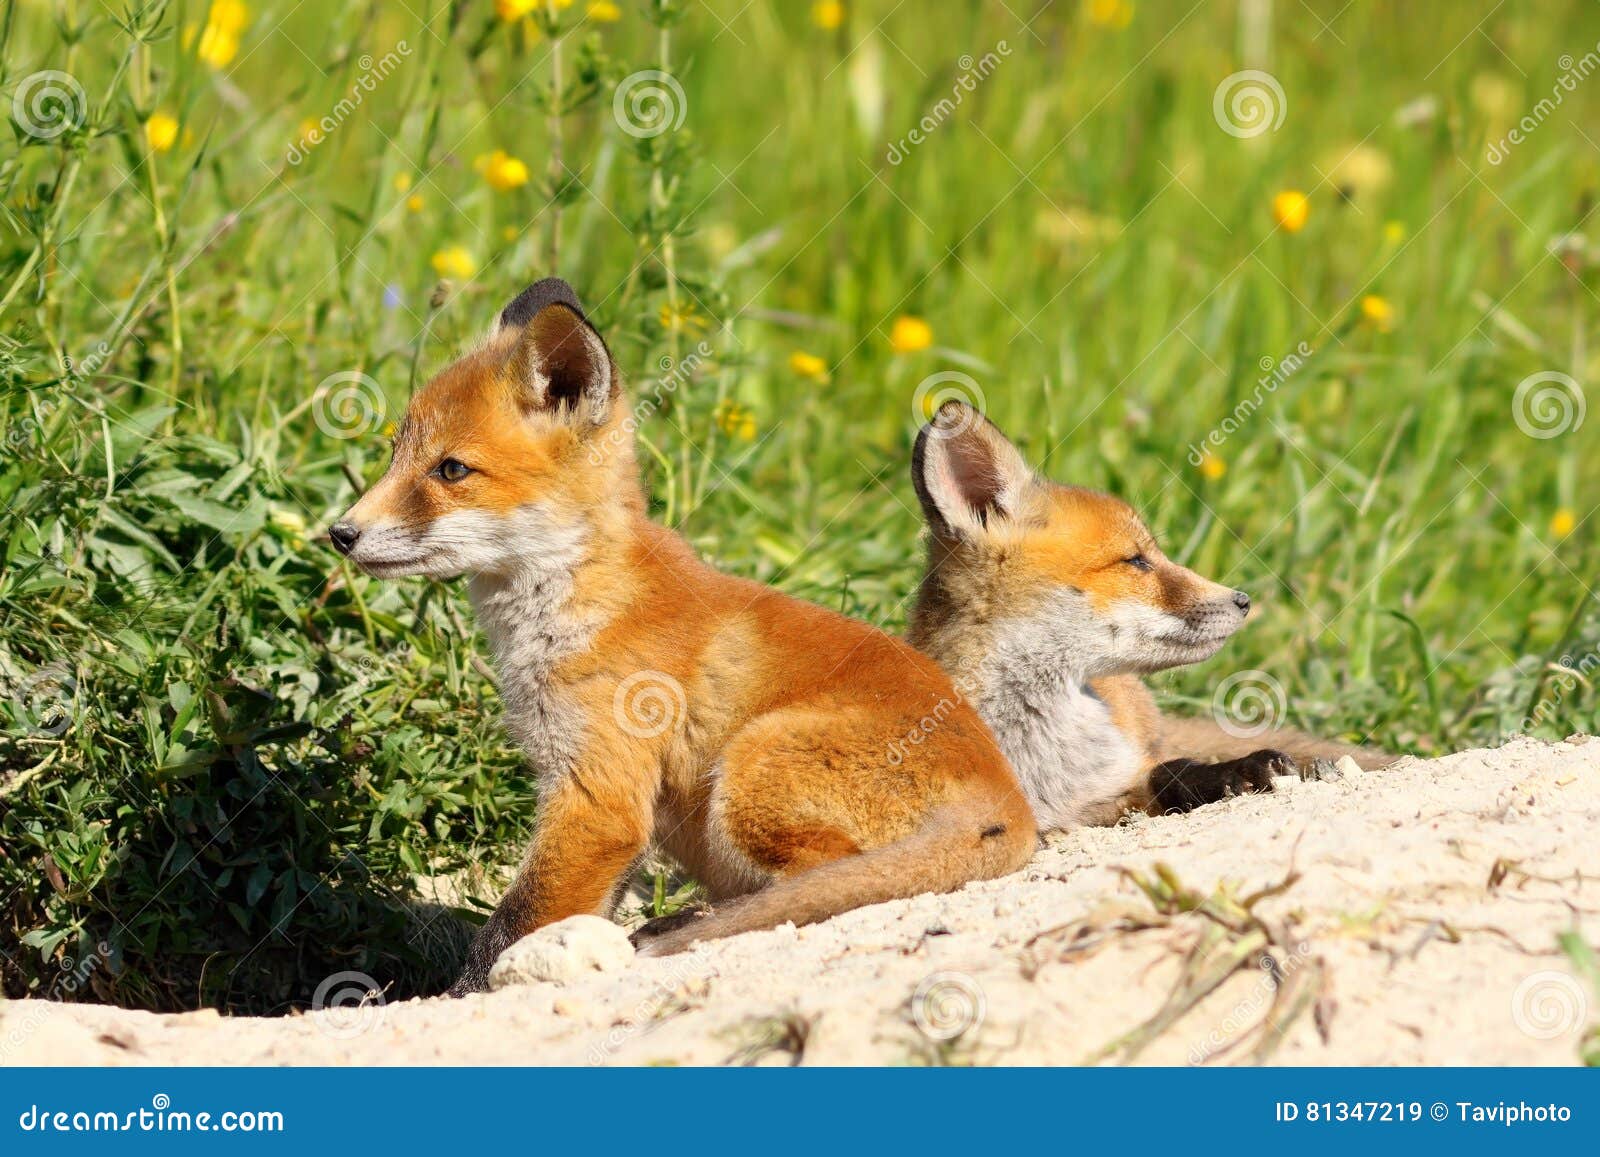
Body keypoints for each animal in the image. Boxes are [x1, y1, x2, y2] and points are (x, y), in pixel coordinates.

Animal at [328, 280, 1035, 994]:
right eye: (395, 456)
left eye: (451, 470)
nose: (341, 533)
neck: (579, 605)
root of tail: (1009, 798)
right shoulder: (607, 812)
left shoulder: (598, 799)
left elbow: (507, 928)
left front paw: (467, 992)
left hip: (749, 771)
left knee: (827, 879)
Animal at [906, 400, 1389, 833]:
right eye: (1136, 561)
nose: (1243, 600)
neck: (1048, 763)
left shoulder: (1122, 781)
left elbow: (1170, 772)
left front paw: (1240, 771)